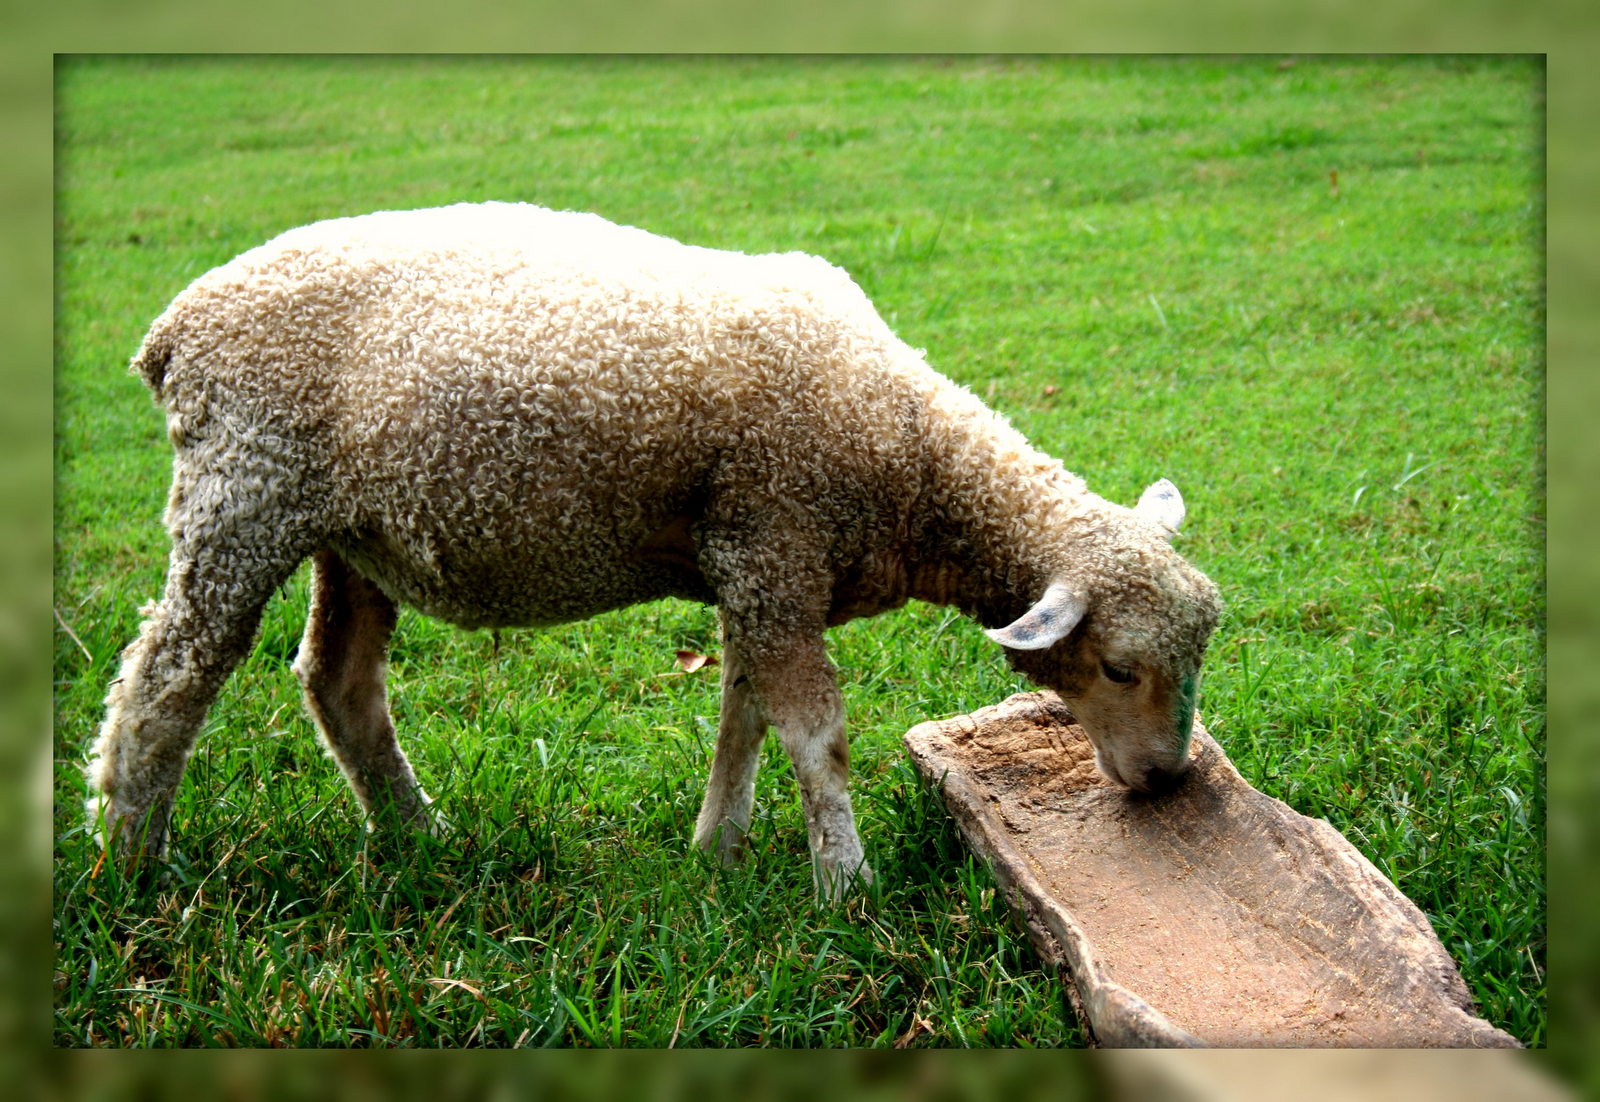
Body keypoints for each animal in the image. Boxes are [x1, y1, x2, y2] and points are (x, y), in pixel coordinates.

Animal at [85, 202, 1221, 899]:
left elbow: (742, 714)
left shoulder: (753, 571)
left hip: (348, 534)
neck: (907, 452)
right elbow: (814, 733)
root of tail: (174, 329)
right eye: (1120, 667)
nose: (1166, 779)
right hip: (243, 493)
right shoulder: (775, 539)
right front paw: (845, 886)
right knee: (168, 679)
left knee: (339, 683)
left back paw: (417, 835)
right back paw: (131, 861)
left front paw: (718, 850)